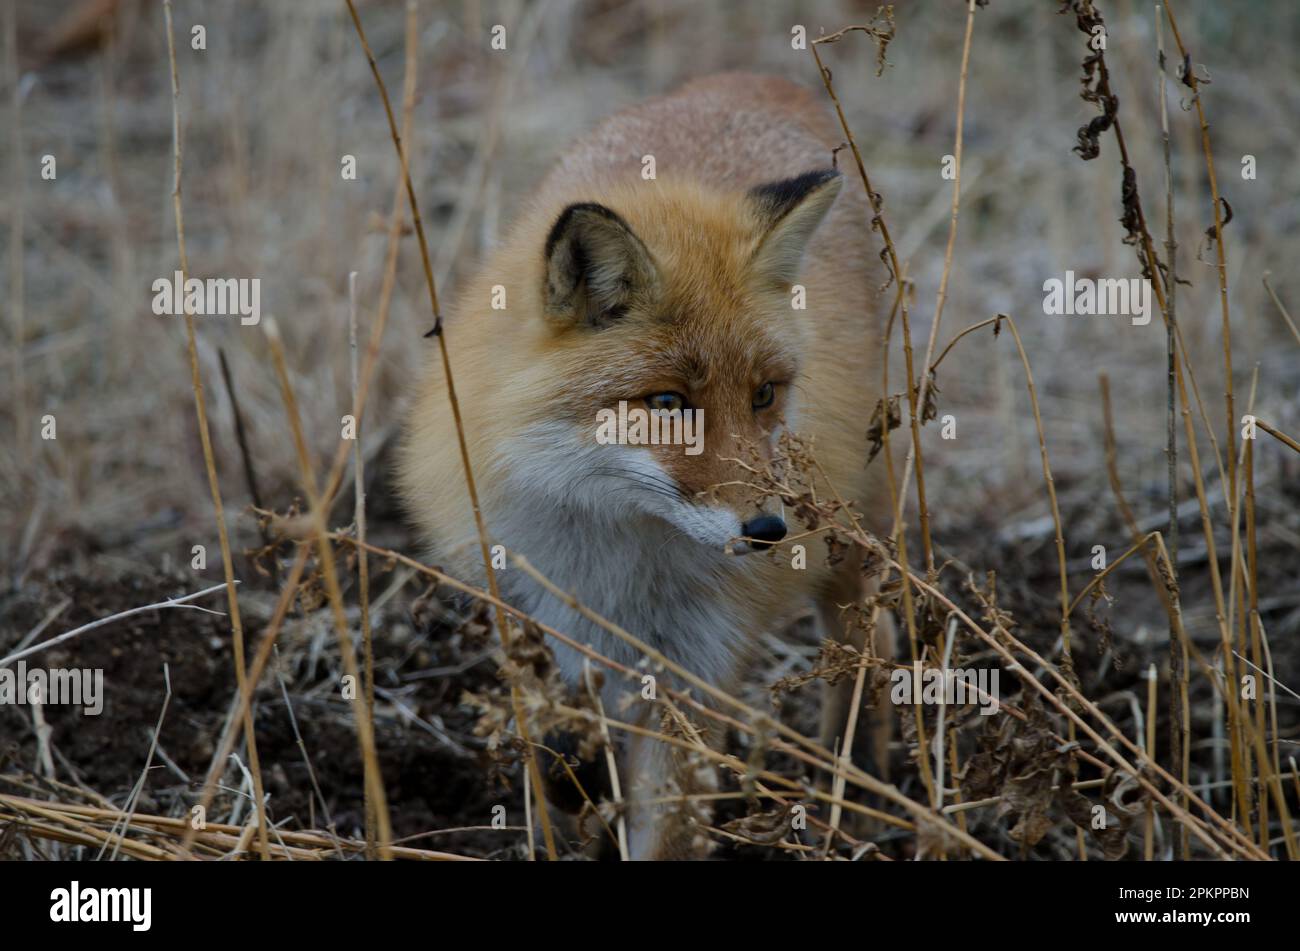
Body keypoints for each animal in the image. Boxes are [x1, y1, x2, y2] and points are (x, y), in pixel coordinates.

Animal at [398, 72, 894, 859]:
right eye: (667, 403)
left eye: (763, 394)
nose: (768, 532)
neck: (611, 549)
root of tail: (752, 79)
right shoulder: (532, 630)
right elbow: (556, 774)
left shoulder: (695, 661)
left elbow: (666, 826)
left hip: (852, 542)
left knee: (872, 645)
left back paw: (861, 791)